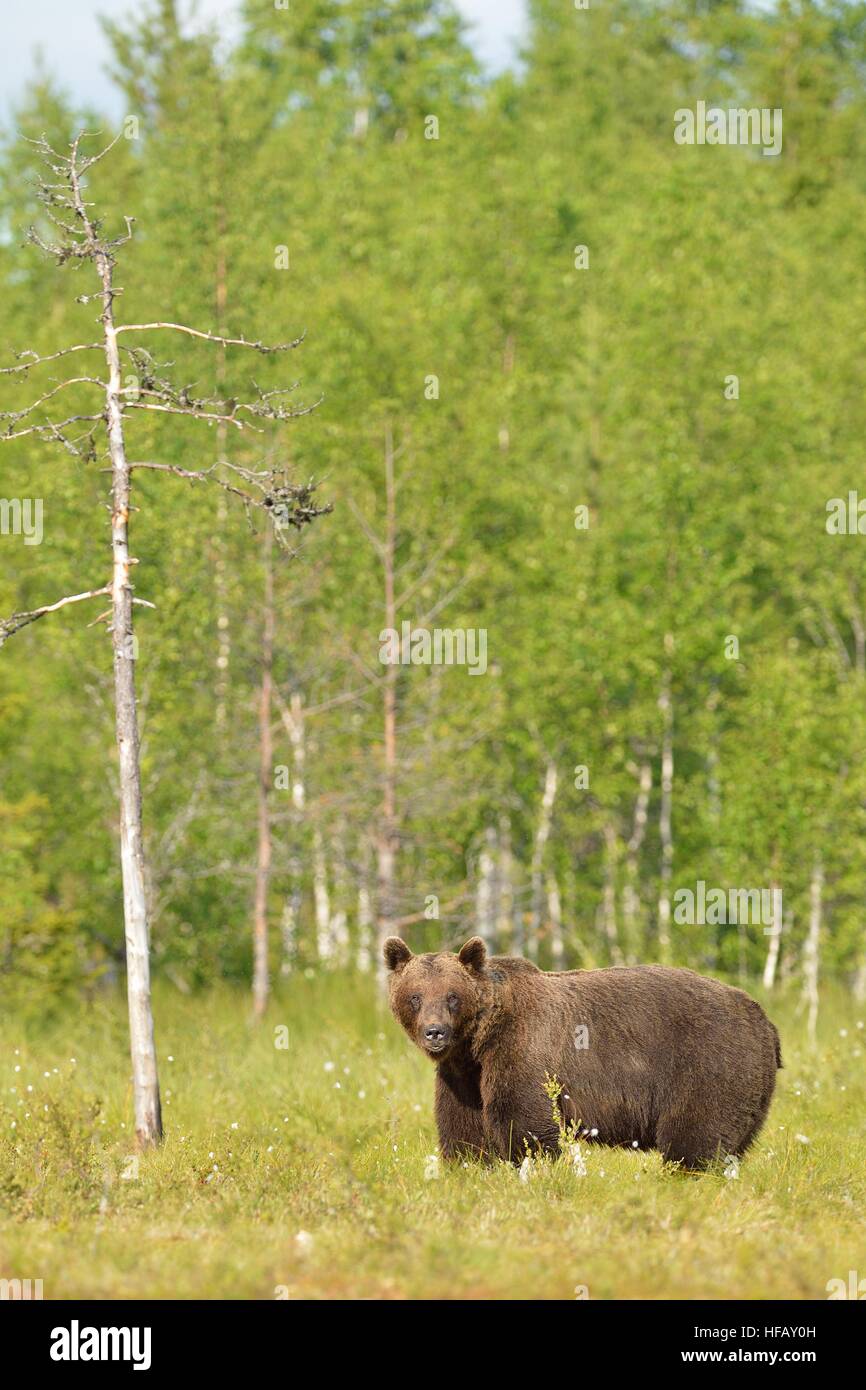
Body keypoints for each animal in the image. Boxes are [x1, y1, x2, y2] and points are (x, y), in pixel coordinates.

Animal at [384, 935, 782, 1169]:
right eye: (415, 996)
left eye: (452, 996)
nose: (435, 1032)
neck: (478, 1040)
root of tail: (763, 1019)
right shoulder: (463, 1073)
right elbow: (464, 1125)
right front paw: (468, 1165)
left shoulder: (522, 1048)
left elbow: (523, 1118)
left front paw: (535, 1165)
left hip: (710, 1063)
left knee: (694, 1138)